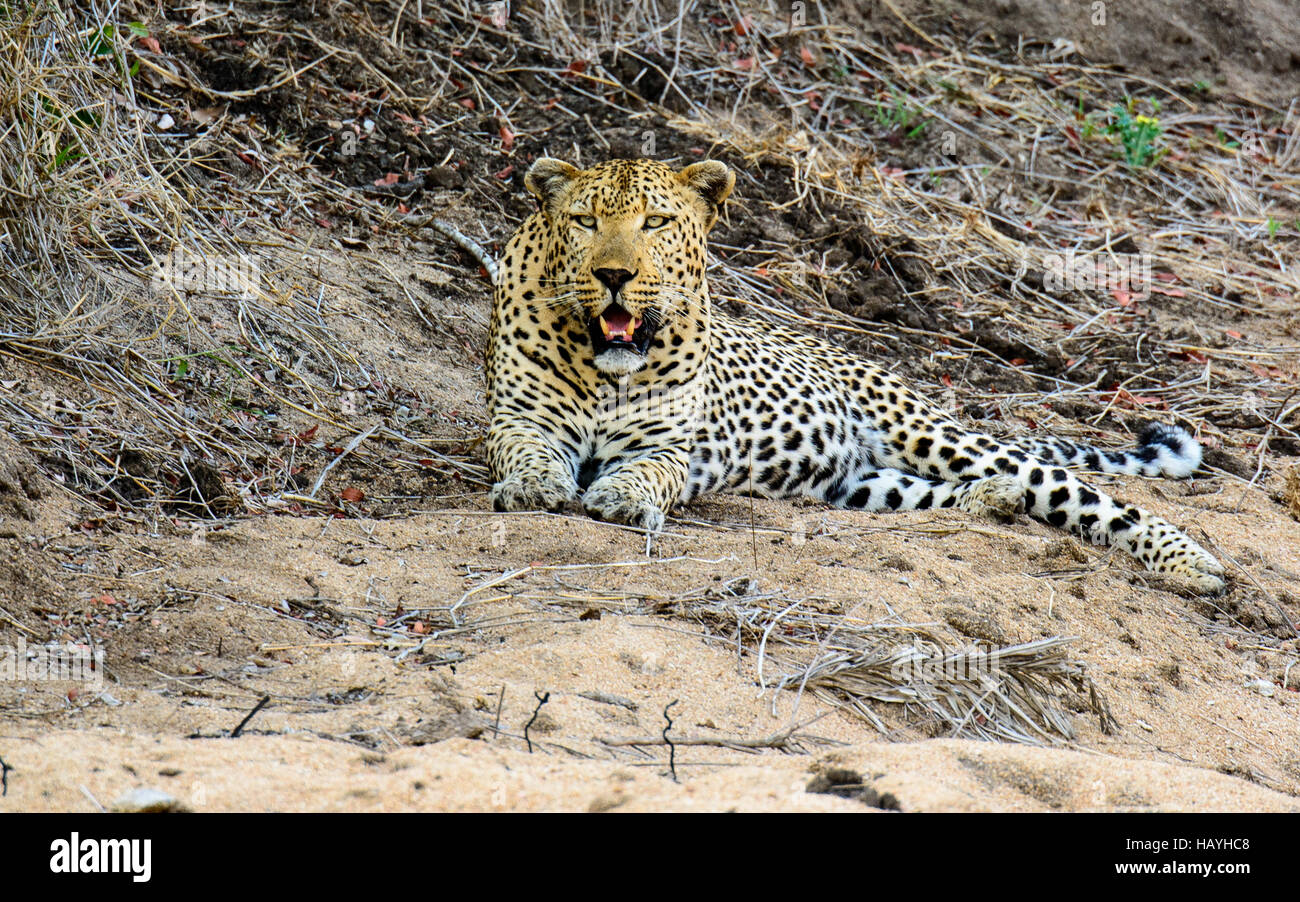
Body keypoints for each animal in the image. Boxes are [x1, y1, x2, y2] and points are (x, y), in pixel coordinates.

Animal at [485, 156, 1226, 595]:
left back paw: (1193, 565)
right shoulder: (517, 420)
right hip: (860, 483)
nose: (614, 274)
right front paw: (534, 487)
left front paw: (616, 496)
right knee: (945, 493)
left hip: (931, 435)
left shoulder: (668, 446)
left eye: (657, 221)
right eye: (585, 221)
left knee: (1091, 496)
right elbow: (525, 452)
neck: (606, 367)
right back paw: (994, 500)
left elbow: (644, 471)